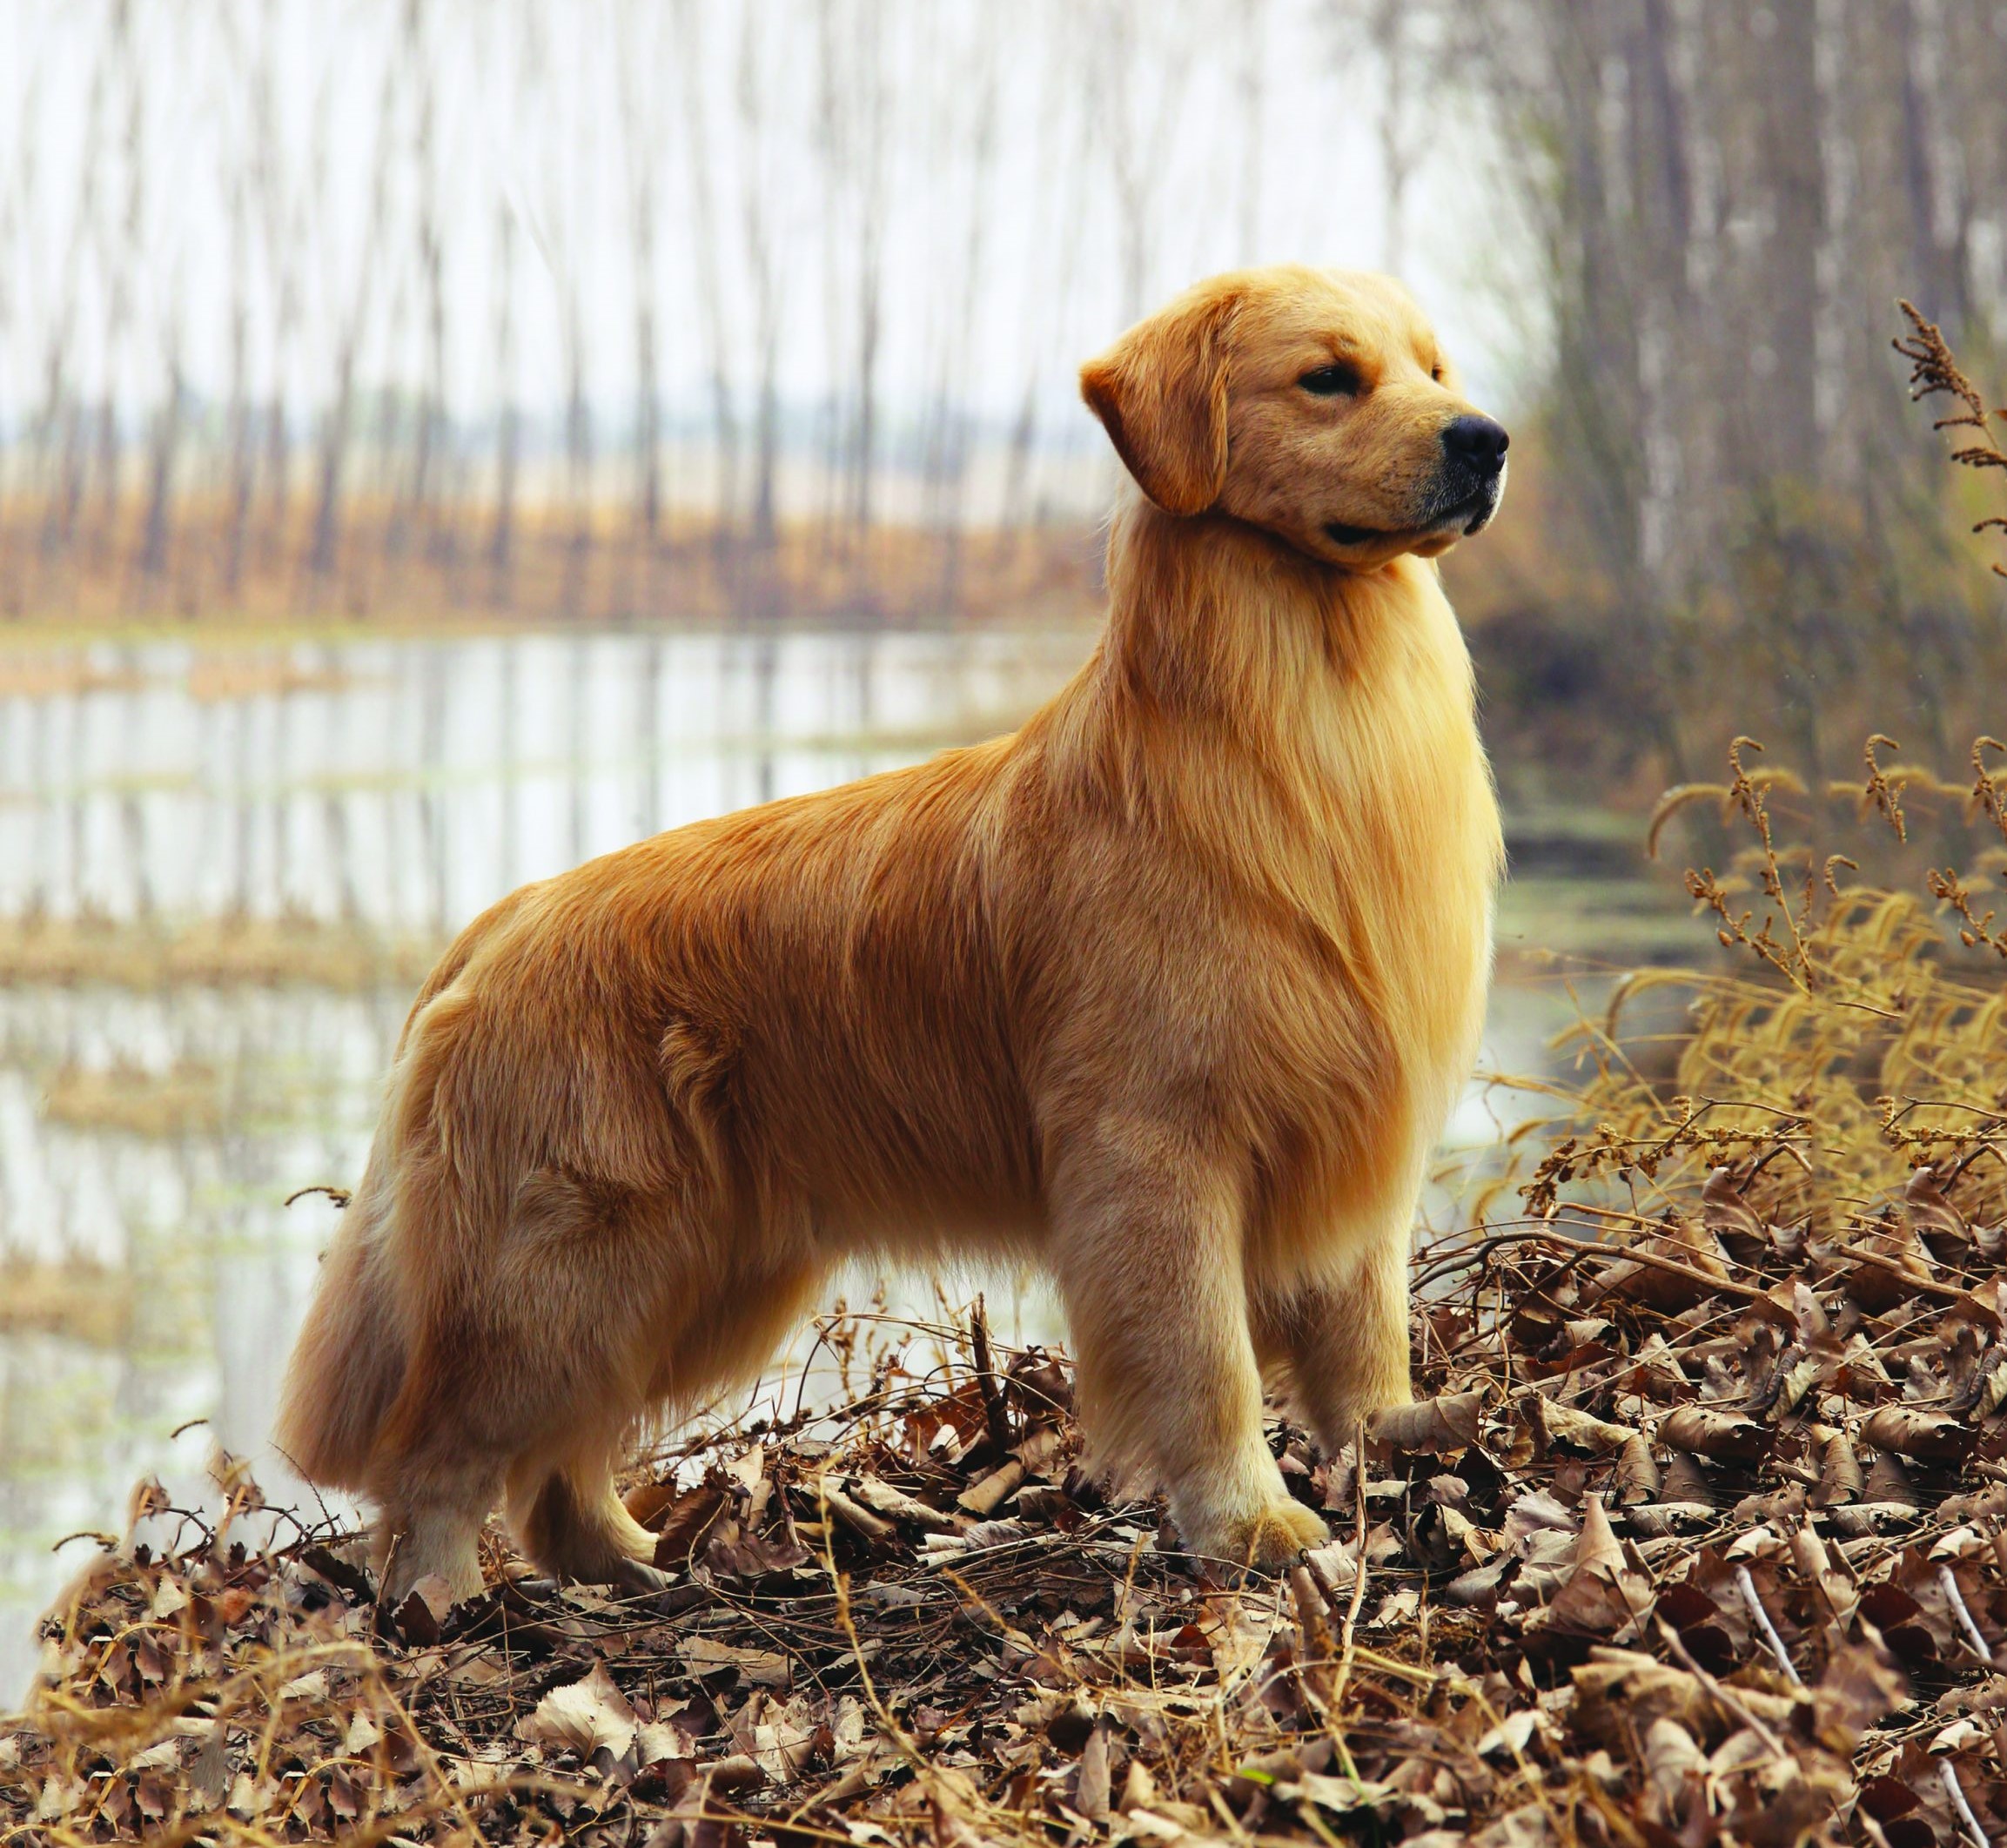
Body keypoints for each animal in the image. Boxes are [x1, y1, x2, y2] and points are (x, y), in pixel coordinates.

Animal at [279, 262, 1509, 1596]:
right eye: (1328, 377)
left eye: (1433, 368)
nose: (1485, 439)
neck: (1309, 711)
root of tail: (502, 920)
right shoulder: (1155, 1149)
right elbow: (1207, 1358)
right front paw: (1250, 1518)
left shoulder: (1356, 1125)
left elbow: (1359, 1325)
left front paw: (1396, 1440)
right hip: (560, 1276)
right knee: (436, 1459)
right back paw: (442, 1602)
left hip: (690, 1275)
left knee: (556, 1472)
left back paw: (639, 1562)